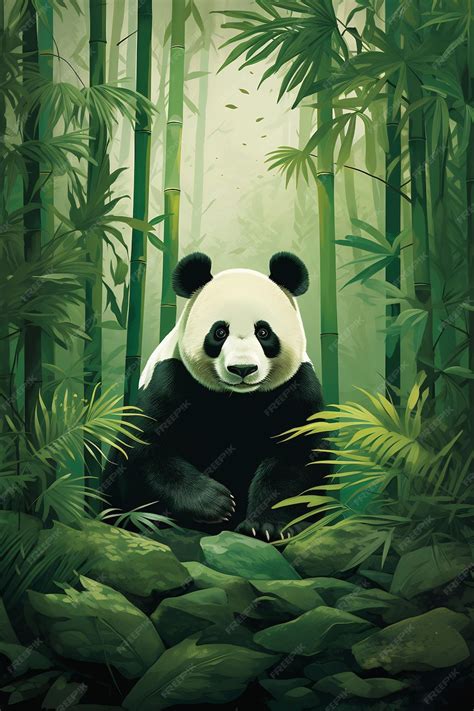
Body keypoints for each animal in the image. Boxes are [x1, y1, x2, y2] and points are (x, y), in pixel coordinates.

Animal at [108, 251, 327, 541]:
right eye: (220, 332)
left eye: (263, 332)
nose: (243, 369)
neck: (237, 398)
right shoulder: (170, 378)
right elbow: (145, 447)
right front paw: (216, 503)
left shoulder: (298, 387)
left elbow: (296, 454)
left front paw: (266, 526)